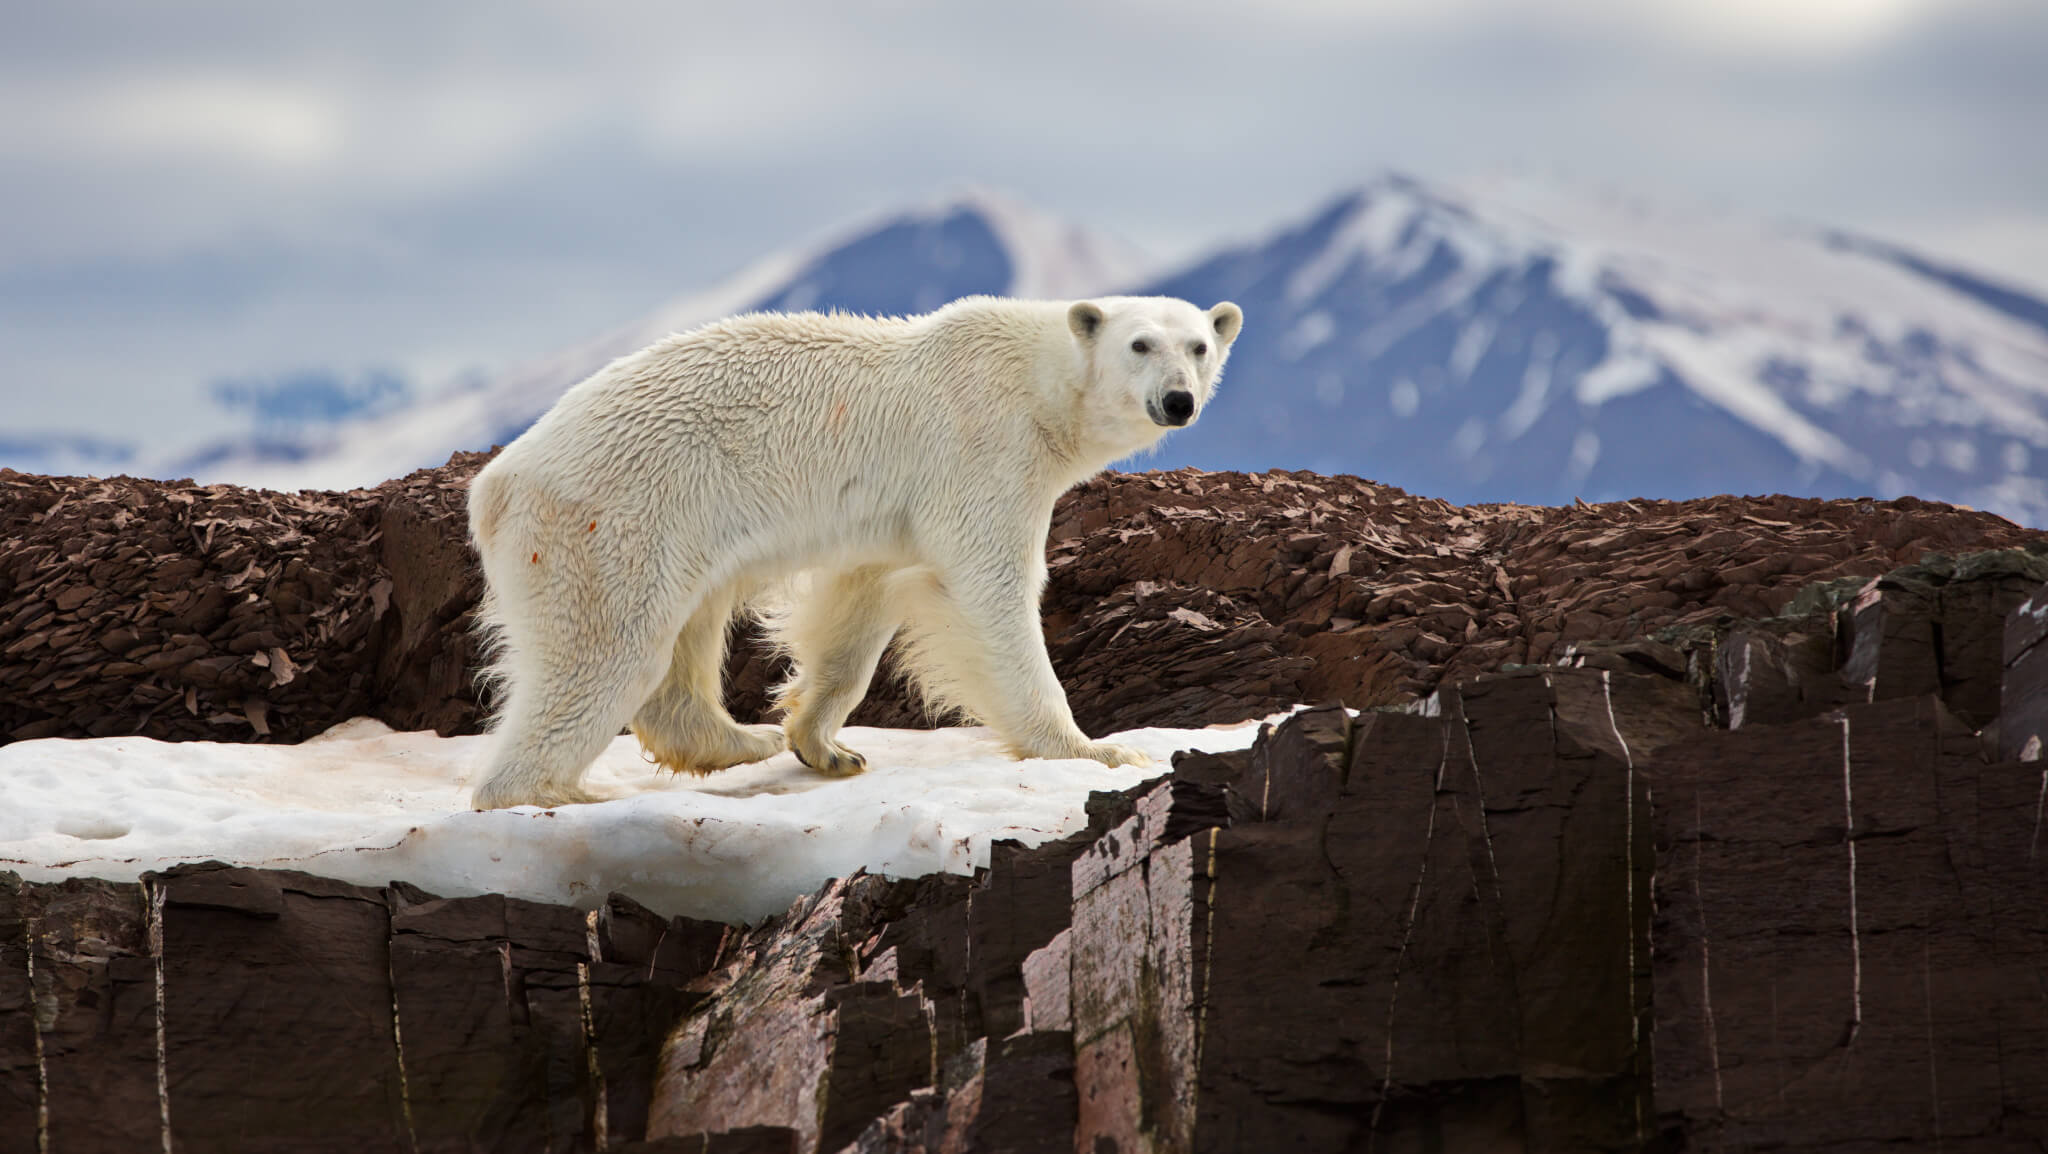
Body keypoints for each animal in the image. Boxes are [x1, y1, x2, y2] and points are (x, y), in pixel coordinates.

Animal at [466, 294, 1244, 810]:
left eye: (1199, 347)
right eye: (1140, 345)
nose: (1177, 400)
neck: (1035, 380)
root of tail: (494, 485)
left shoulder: (884, 521)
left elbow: (859, 601)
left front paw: (825, 743)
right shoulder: (984, 448)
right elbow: (988, 587)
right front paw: (1095, 748)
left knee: (687, 629)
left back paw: (739, 740)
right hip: (612, 520)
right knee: (604, 652)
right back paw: (555, 793)